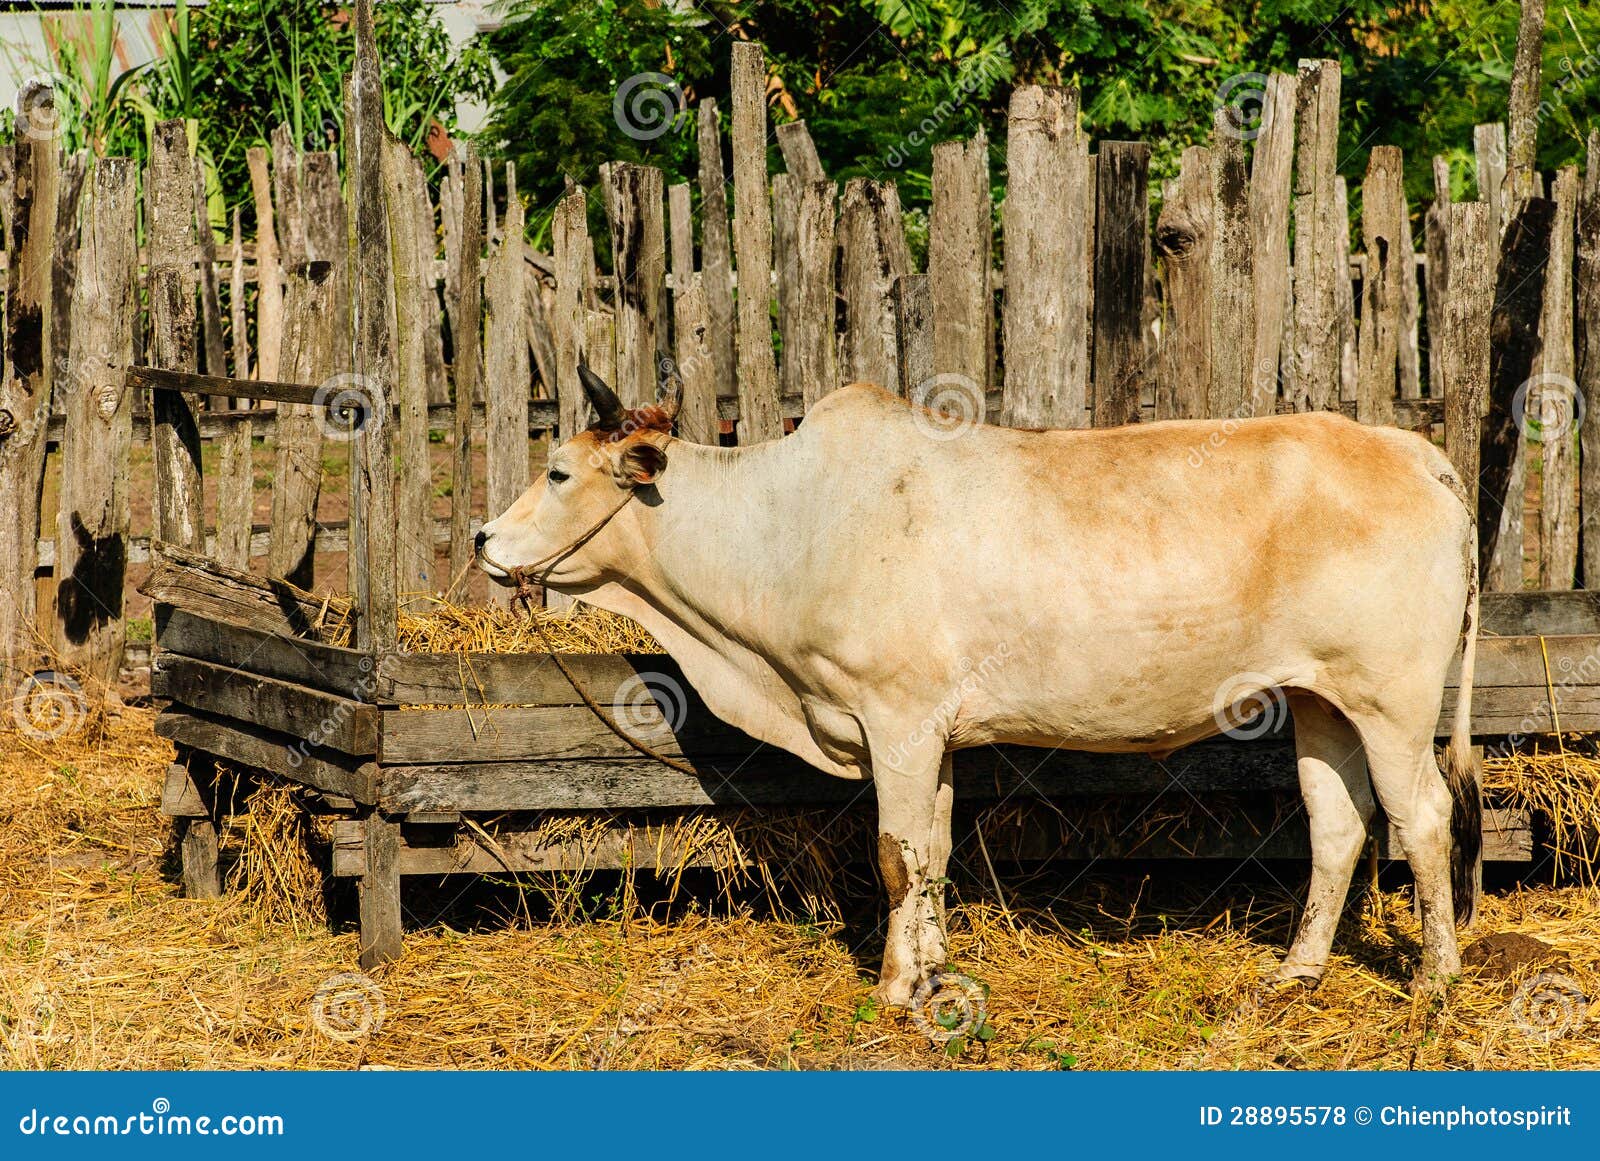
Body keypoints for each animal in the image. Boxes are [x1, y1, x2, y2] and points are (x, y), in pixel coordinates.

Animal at [476, 367, 1480, 1005]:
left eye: (558, 471)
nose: (485, 539)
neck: (790, 524)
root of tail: (1411, 450)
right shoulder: (935, 733)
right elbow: (933, 852)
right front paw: (930, 964)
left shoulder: (897, 718)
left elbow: (894, 855)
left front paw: (894, 989)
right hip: (1322, 698)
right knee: (1339, 823)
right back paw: (1297, 972)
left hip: (1394, 699)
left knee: (1424, 815)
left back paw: (1435, 979)